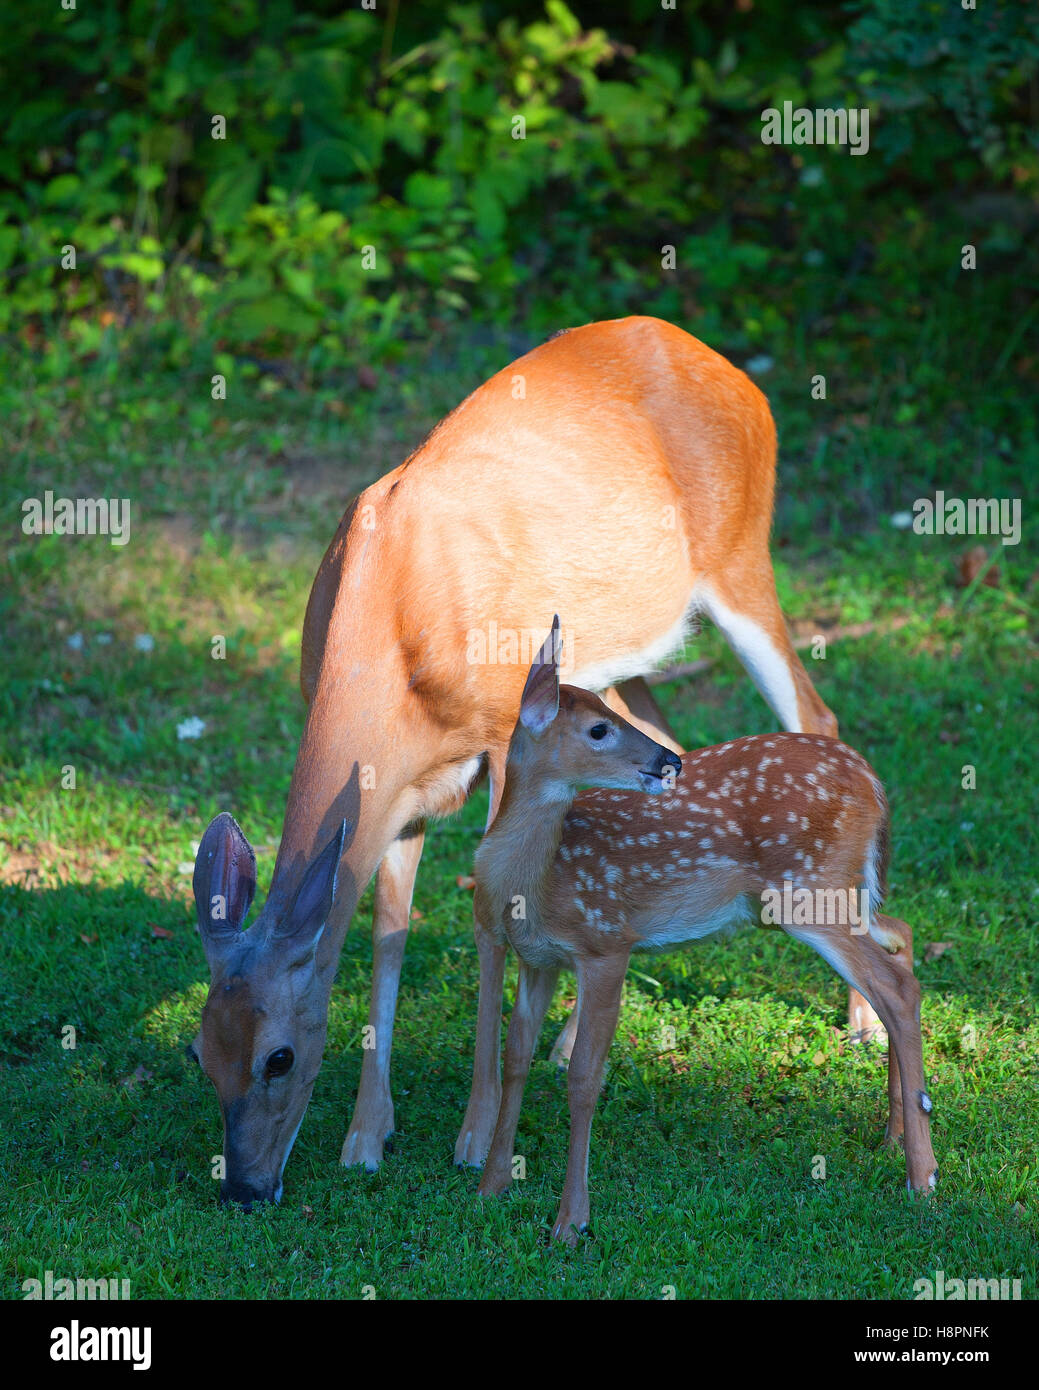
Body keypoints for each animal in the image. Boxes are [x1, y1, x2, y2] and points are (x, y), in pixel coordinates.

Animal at [188, 316, 868, 1209]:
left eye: (279, 1057)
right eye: (200, 1053)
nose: (243, 1188)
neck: (395, 621)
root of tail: (731, 370)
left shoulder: (502, 742)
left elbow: (486, 920)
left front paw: (474, 1137)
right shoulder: (406, 786)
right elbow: (390, 930)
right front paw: (367, 1136)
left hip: (740, 563)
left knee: (816, 716)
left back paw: (860, 1020)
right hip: (615, 669)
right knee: (672, 753)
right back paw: (575, 1030)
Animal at [476, 620, 938, 1244]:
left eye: (612, 711)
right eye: (599, 727)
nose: (668, 758)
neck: (536, 883)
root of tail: (874, 780)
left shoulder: (606, 942)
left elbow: (584, 1078)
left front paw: (570, 1223)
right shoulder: (537, 959)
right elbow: (516, 1058)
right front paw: (492, 1185)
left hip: (809, 891)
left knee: (897, 987)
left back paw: (922, 1176)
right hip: (841, 892)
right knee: (903, 939)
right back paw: (891, 1137)